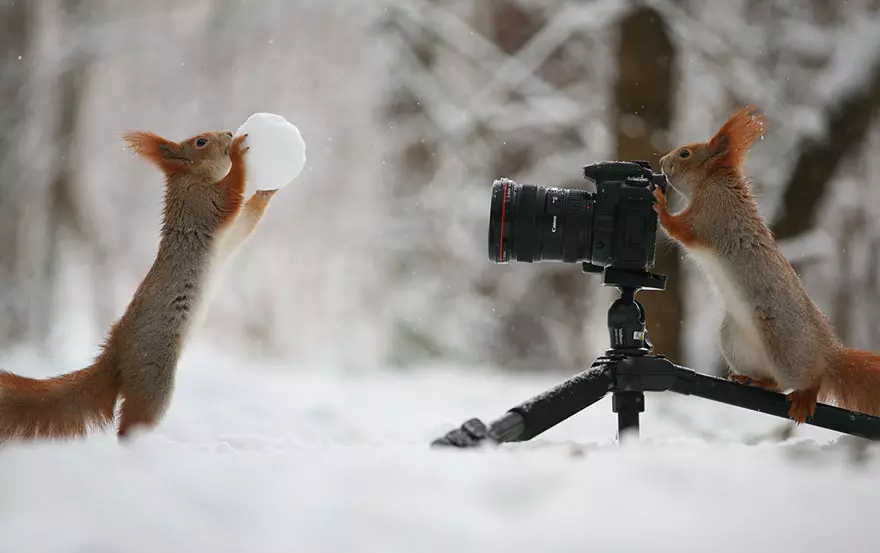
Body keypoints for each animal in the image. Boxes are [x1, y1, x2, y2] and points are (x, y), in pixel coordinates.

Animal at [0, 126, 276, 440]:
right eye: (201, 141)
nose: (229, 132)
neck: (191, 179)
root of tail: (115, 354)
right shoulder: (204, 205)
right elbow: (231, 192)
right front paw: (238, 154)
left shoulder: (227, 236)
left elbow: (246, 221)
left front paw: (266, 191)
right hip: (153, 377)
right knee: (132, 424)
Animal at [648, 105, 880, 420]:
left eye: (685, 153)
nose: (662, 161)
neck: (711, 182)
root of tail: (829, 354)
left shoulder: (711, 214)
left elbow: (681, 229)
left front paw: (660, 204)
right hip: (734, 340)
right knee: (775, 383)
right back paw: (752, 379)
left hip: (782, 343)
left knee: (805, 380)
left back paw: (806, 396)